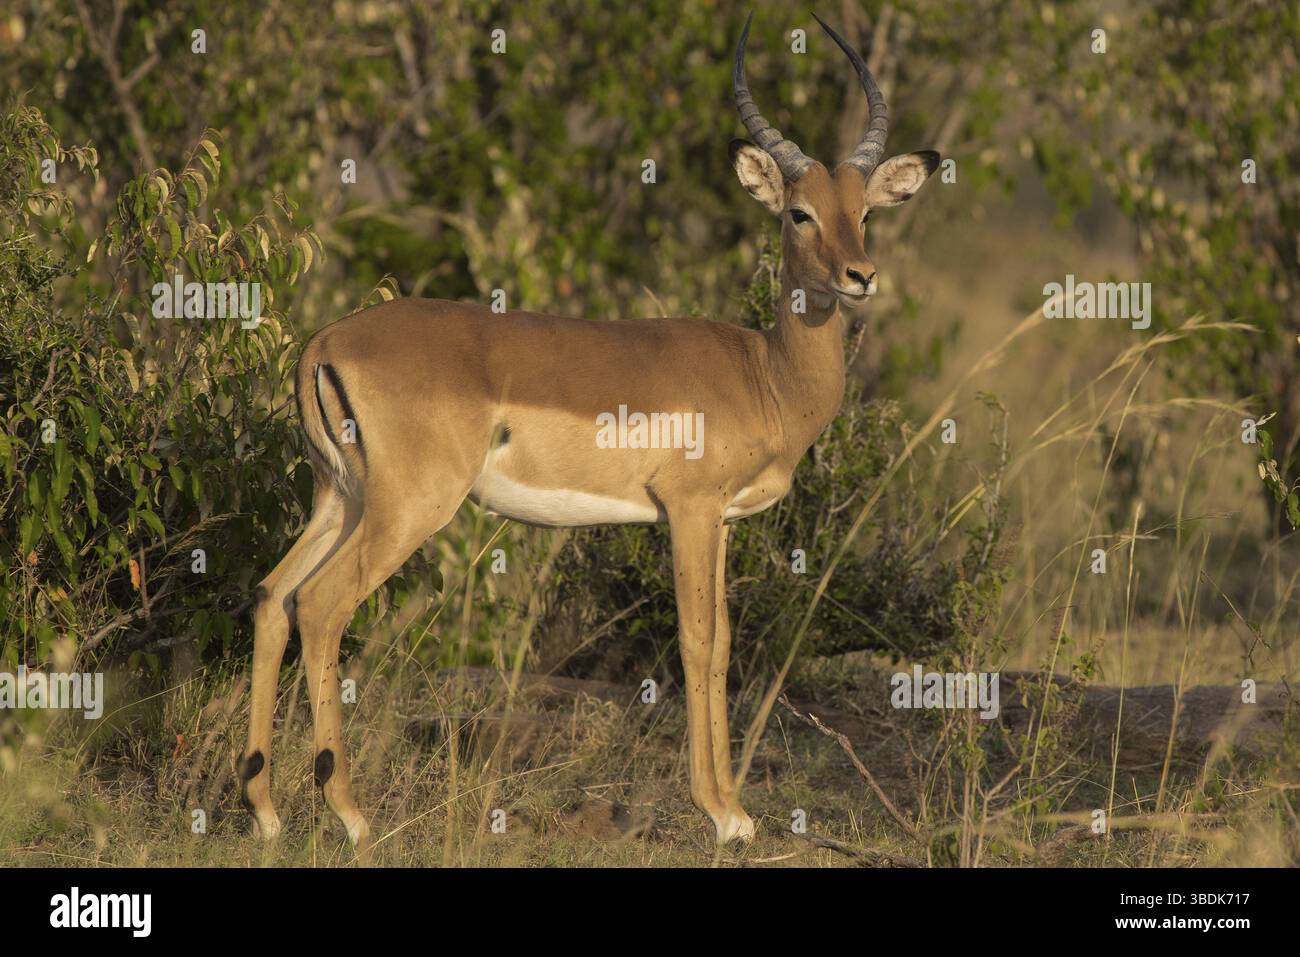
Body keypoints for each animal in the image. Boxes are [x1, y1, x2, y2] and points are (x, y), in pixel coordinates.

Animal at [238, 12, 938, 858]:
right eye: (797, 212)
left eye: (865, 211)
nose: (859, 276)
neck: (764, 372)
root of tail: (322, 342)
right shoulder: (689, 509)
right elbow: (696, 639)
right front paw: (721, 813)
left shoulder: (723, 521)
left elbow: (724, 645)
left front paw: (738, 808)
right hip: (408, 509)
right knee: (320, 605)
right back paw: (349, 812)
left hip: (339, 498)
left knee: (273, 596)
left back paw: (265, 810)